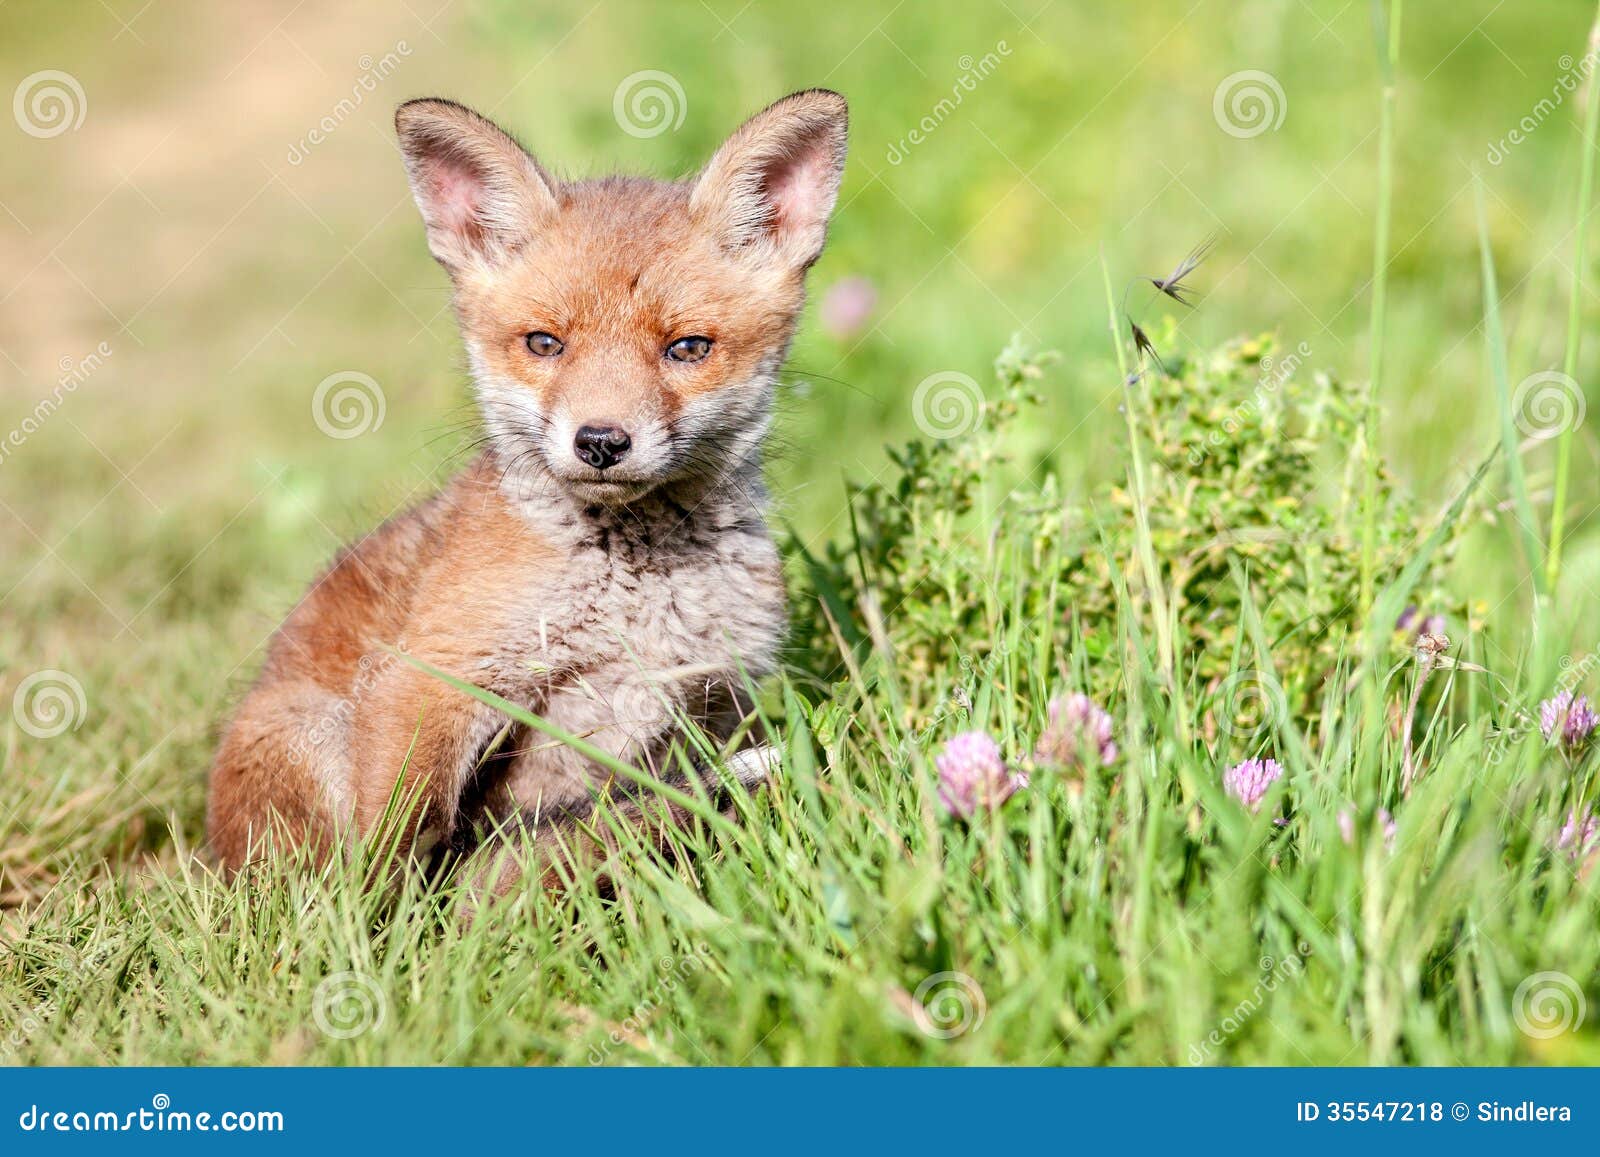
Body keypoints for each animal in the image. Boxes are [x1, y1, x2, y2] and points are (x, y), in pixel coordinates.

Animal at [205, 89, 848, 889]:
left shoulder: (712, 701)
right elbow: (393, 851)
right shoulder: (431, 678)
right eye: (546, 343)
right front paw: (384, 926)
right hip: (307, 727)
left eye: (687, 348)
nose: (600, 442)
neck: (635, 595)